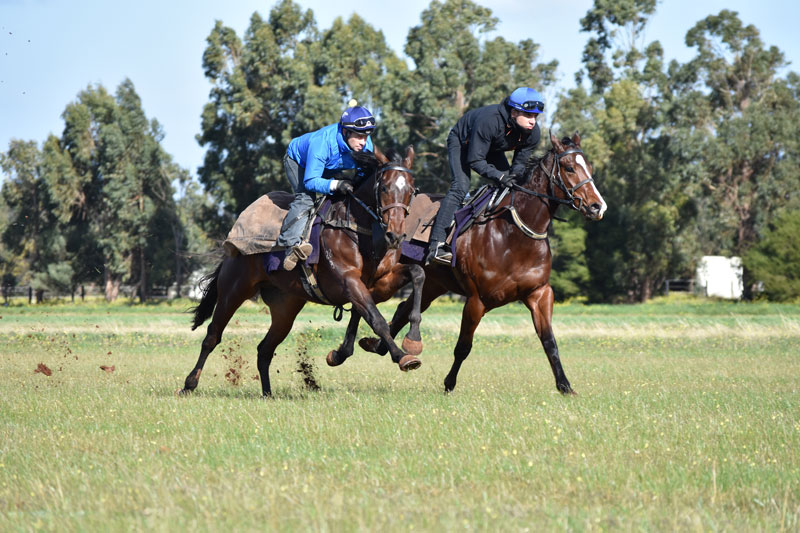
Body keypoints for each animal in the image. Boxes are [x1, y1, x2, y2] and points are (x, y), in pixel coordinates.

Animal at [180, 146, 425, 397]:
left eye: (411, 191)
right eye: (384, 187)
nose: (395, 236)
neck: (358, 230)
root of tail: (231, 246)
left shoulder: (379, 281)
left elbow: (416, 274)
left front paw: (412, 339)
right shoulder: (348, 281)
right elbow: (376, 319)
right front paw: (402, 356)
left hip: (285, 307)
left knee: (264, 349)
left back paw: (268, 394)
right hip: (233, 290)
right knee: (212, 336)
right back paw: (189, 384)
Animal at [340, 132, 607, 394]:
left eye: (590, 166)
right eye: (569, 167)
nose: (598, 206)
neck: (513, 235)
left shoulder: (539, 293)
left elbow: (549, 341)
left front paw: (565, 386)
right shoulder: (477, 300)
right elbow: (463, 346)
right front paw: (449, 385)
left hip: (431, 285)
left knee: (401, 309)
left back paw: (379, 346)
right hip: (384, 278)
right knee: (365, 301)